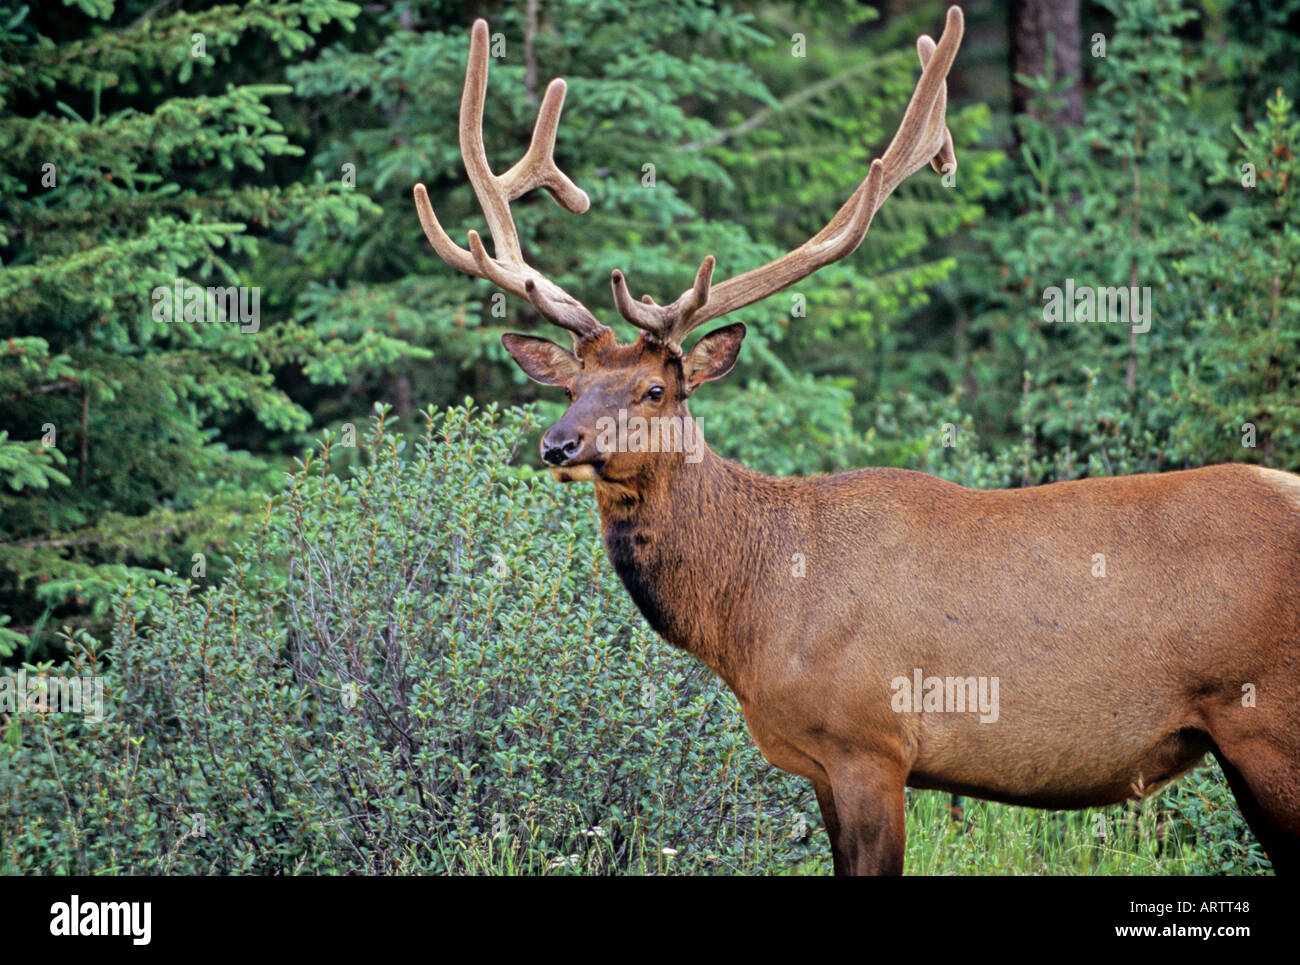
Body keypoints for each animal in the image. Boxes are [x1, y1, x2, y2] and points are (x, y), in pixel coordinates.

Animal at [413, 7, 1300, 875]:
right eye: (571, 386)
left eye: (656, 389)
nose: (557, 444)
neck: (759, 605)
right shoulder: (819, 766)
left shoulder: (870, 742)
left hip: (1267, 721)